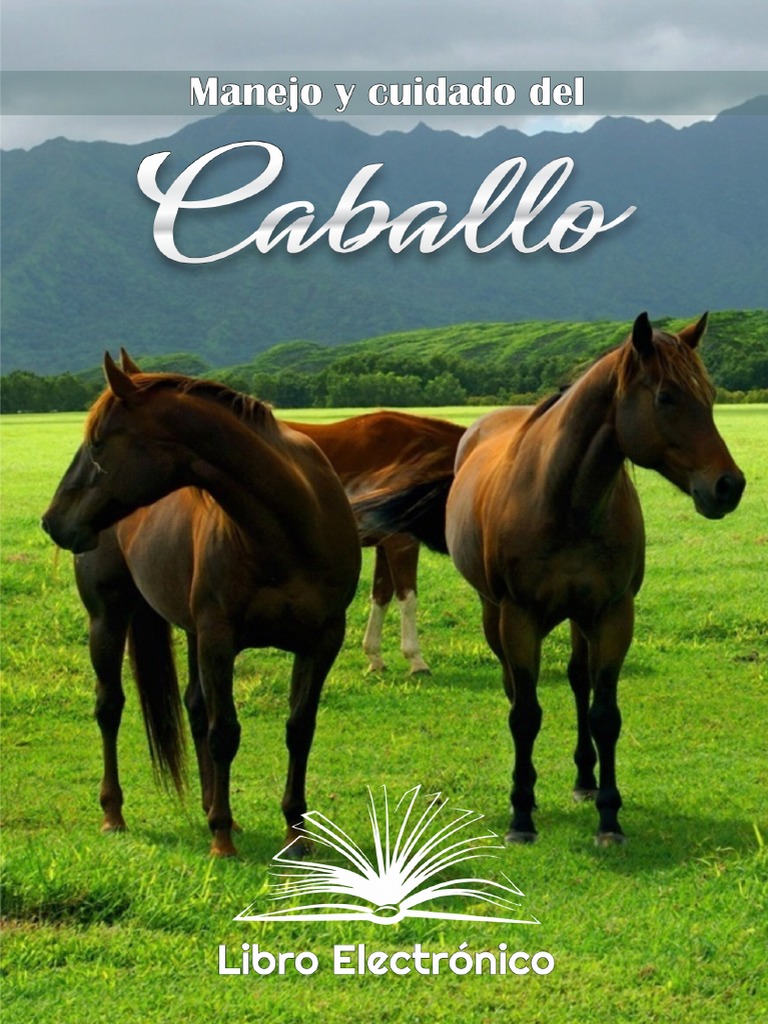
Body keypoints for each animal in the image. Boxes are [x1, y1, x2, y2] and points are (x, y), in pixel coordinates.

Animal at [41, 354, 361, 857]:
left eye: (97, 442)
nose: (53, 521)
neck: (289, 528)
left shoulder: (323, 641)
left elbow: (299, 729)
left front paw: (296, 833)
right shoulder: (219, 639)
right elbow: (224, 731)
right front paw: (222, 839)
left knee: (193, 706)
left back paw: (212, 804)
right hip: (107, 619)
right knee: (110, 707)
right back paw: (115, 813)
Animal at [283, 411, 465, 675]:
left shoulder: (384, 544)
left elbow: (381, 596)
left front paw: (374, 657)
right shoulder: (402, 542)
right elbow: (407, 598)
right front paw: (416, 660)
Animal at [354, 313, 745, 845]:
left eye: (709, 395)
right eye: (667, 396)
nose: (729, 485)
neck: (565, 499)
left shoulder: (612, 614)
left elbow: (604, 714)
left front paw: (608, 815)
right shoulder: (518, 618)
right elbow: (525, 713)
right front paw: (521, 814)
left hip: (580, 619)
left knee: (580, 683)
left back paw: (584, 779)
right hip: (494, 614)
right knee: (515, 689)